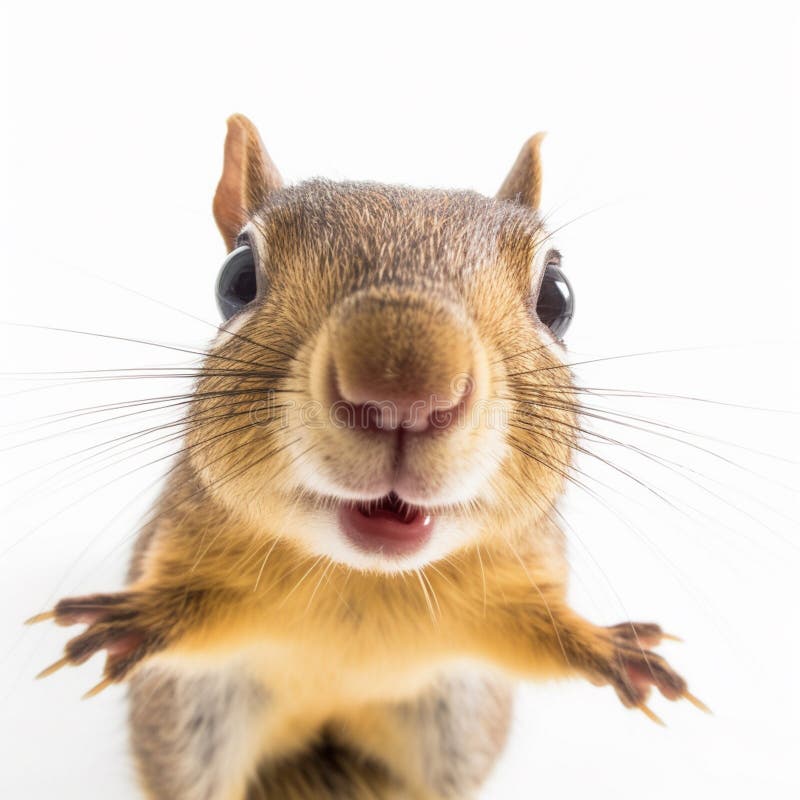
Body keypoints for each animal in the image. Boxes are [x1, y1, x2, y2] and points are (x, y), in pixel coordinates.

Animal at [29, 114, 705, 800]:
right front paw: (134, 618)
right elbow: (192, 611)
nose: (404, 393)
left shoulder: (516, 584)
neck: (364, 578)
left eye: (557, 298)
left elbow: (537, 637)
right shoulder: (186, 539)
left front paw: (613, 650)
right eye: (237, 279)